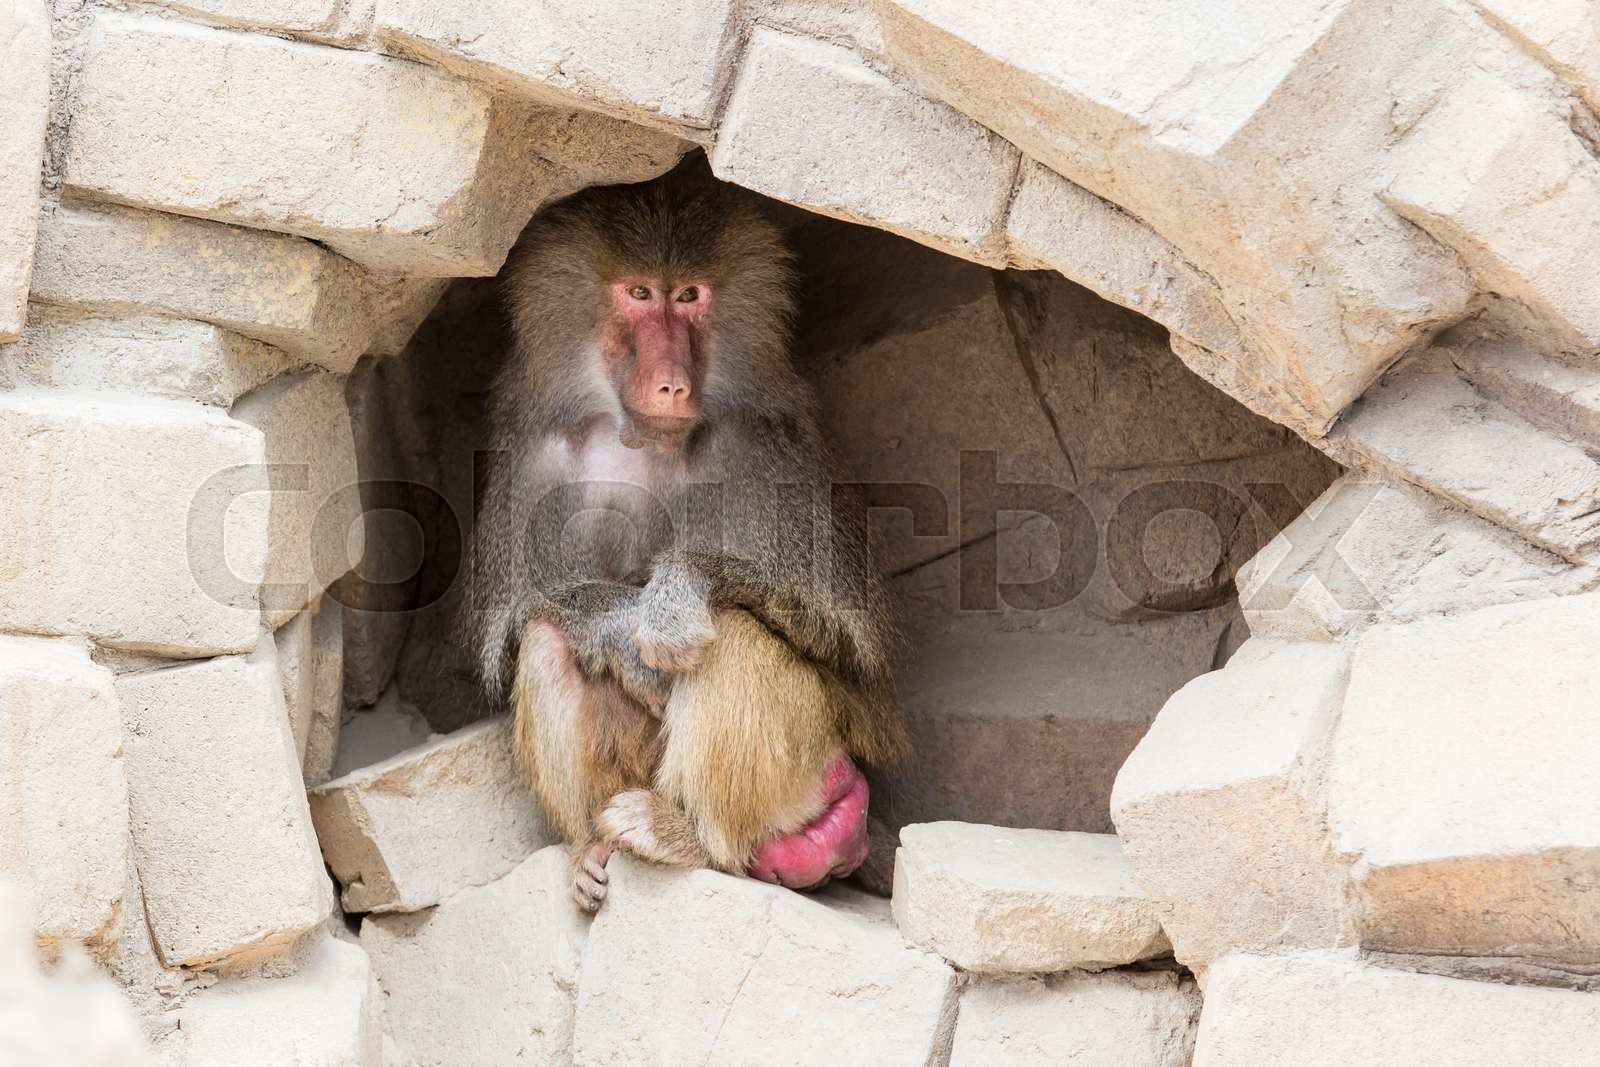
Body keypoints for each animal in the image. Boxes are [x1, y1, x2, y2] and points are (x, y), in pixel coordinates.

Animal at [464, 160, 907, 911]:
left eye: (691, 295)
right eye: (640, 293)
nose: (672, 384)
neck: (652, 440)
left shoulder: (772, 453)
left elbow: (852, 649)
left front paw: (672, 596)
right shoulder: (533, 461)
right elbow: (517, 627)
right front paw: (622, 630)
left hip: (810, 774)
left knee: (731, 629)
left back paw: (683, 837)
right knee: (548, 639)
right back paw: (590, 850)